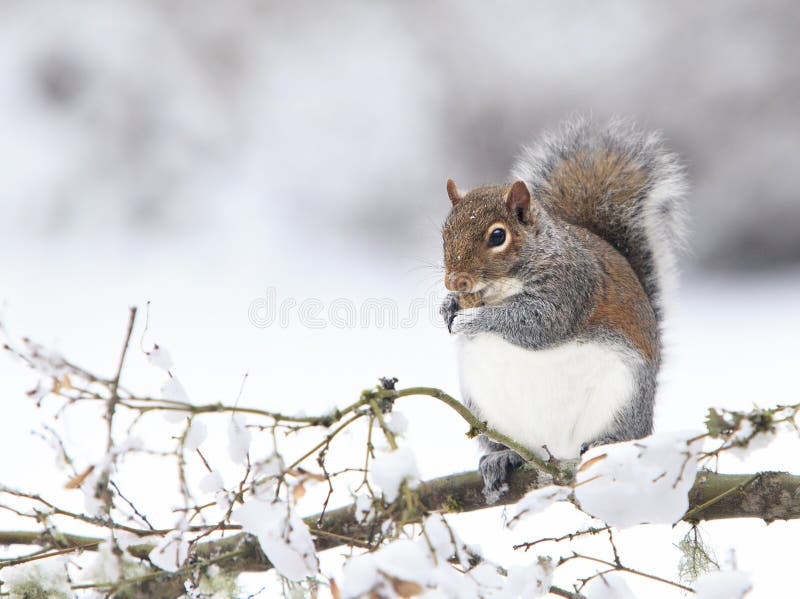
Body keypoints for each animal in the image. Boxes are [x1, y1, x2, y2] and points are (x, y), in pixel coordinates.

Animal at [439, 118, 687, 496]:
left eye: (498, 236)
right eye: (444, 233)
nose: (455, 282)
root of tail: (557, 453)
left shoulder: (571, 288)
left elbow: (536, 323)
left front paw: (473, 319)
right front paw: (446, 307)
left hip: (623, 398)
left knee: (623, 434)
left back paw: (605, 443)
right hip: (483, 410)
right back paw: (501, 458)